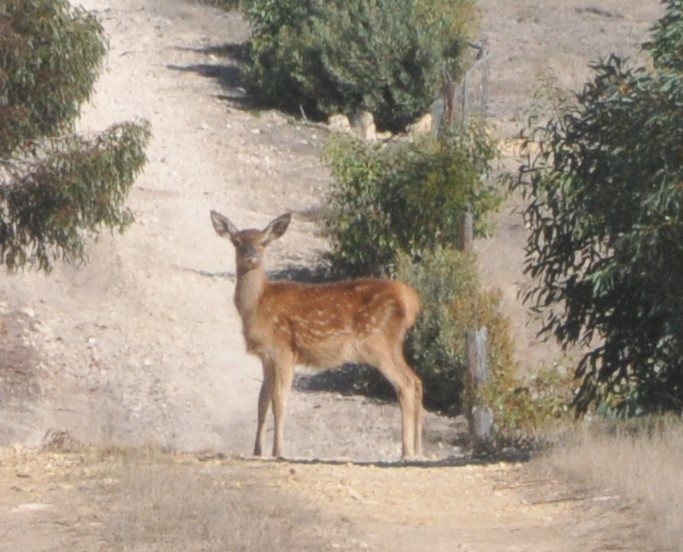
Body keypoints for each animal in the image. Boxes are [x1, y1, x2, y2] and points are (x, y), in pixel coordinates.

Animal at [210, 210, 423, 460]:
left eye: (263, 242)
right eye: (237, 242)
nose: (250, 255)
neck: (257, 305)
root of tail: (412, 301)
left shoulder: (284, 349)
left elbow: (279, 400)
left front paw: (278, 451)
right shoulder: (267, 355)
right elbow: (262, 400)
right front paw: (257, 451)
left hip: (378, 342)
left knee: (405, 383)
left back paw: (406, 451)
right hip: (390, 345)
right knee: (416, 381)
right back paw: (418, 449)